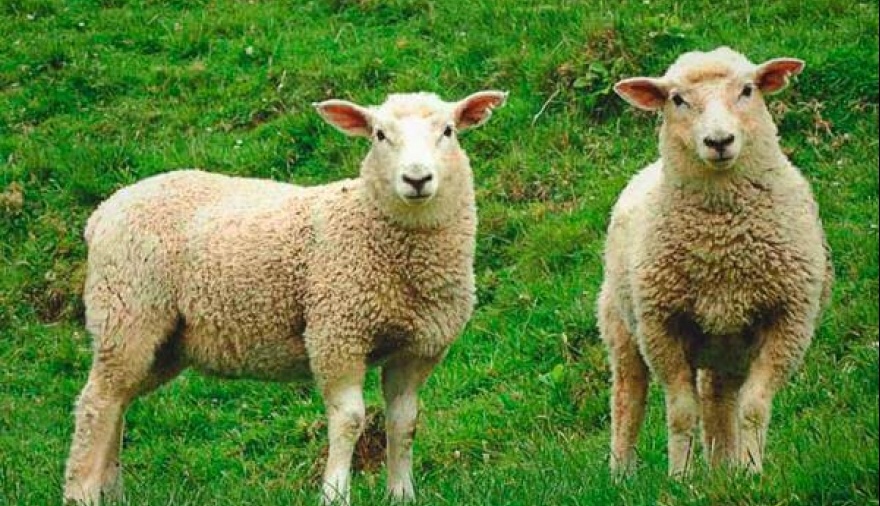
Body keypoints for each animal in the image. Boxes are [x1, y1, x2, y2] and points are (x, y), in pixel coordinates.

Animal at [63, 90, 508, 505]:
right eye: (380, 135)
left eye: (448, 131)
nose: (416, 179)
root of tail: (102, 213)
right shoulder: (336, 333)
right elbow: (350, 419)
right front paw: (334, 494)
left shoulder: (418, 348)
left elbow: (404, 421)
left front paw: (402, 494)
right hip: (127, 314)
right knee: (96, 404)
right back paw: (81, 491)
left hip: (163, 343)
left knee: (118, 404)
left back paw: (111, 492)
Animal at [597, 47, 832, 477]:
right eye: (677, 99)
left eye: (747, 90)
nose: (719, 141)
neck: (723, 242)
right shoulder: (661, 327)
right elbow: (680, 412)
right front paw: (679, 478)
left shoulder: (789, 322)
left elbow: (753, 407)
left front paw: (752, 474)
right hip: (622, 326)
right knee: (627, 399)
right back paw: (622, 474)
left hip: (726, 346)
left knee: (718, 400)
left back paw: (724, 470)